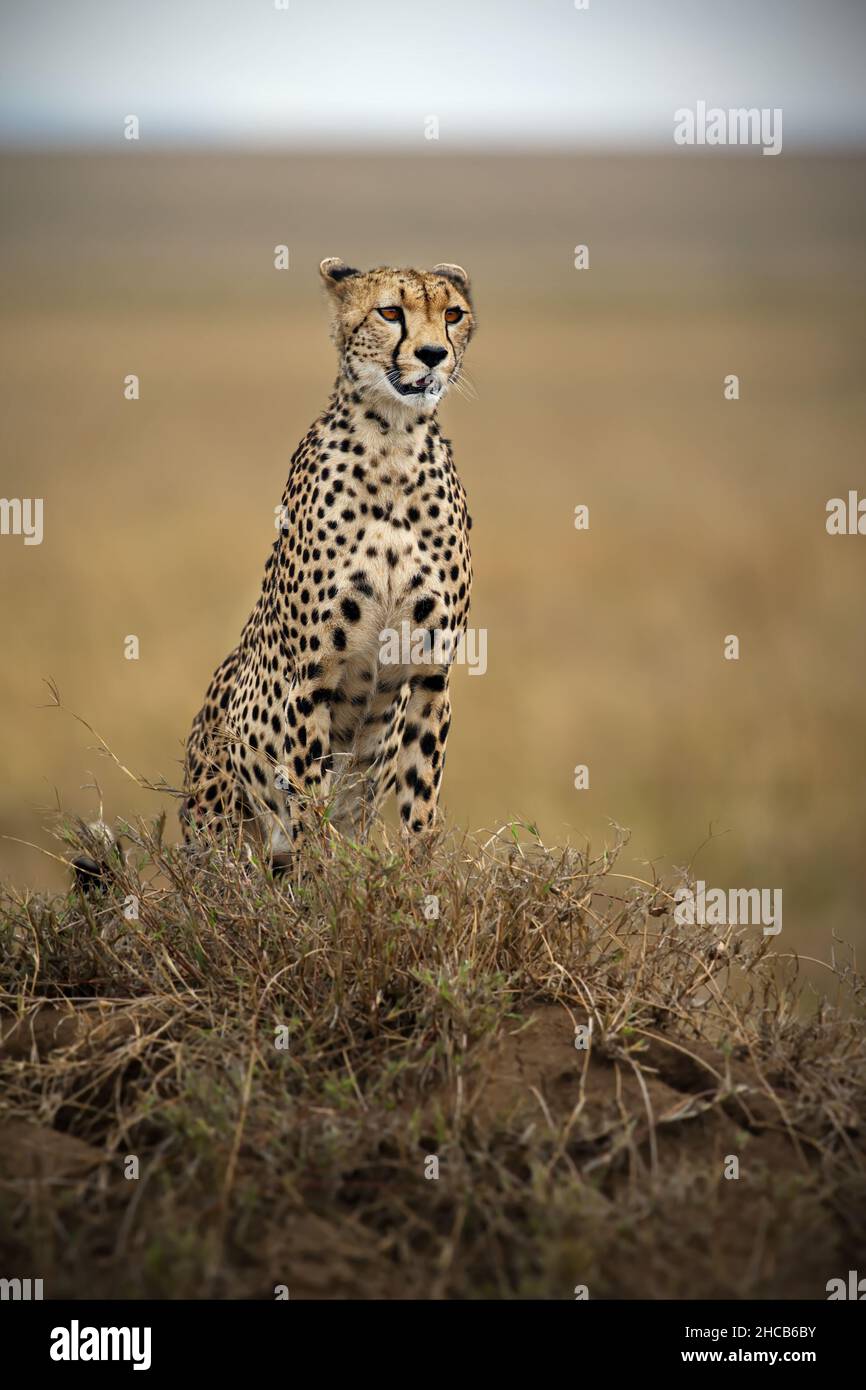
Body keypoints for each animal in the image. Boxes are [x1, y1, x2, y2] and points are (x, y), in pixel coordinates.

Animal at [180, 258, 476, 869]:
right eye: (391, 312)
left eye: (453, 314)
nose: (433, 354)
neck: (394, 443)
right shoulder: (312, 674)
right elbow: (308, 799)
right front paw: (321, 873)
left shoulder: (433, 671)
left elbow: (422, 798)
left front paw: (419, 874)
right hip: (218, 828)